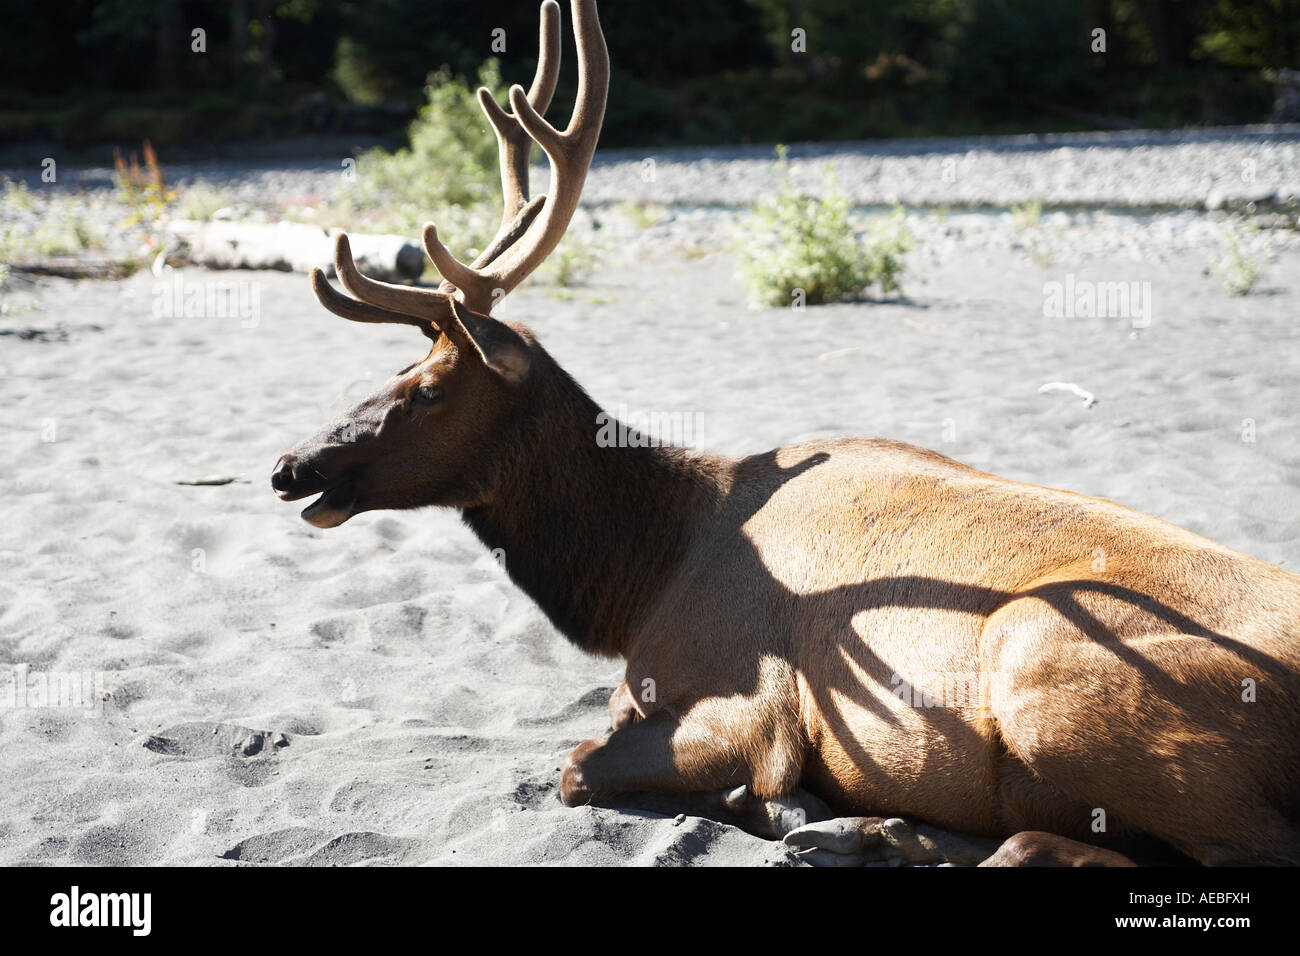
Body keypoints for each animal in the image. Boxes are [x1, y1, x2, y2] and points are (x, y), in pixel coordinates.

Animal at [272, 0, 1300, 866]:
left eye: (428, 388)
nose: (289, 465)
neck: (642, 578)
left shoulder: (752, 705)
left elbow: (580, 766)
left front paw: (782, 805)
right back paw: (885, 829)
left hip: (1042, 657)